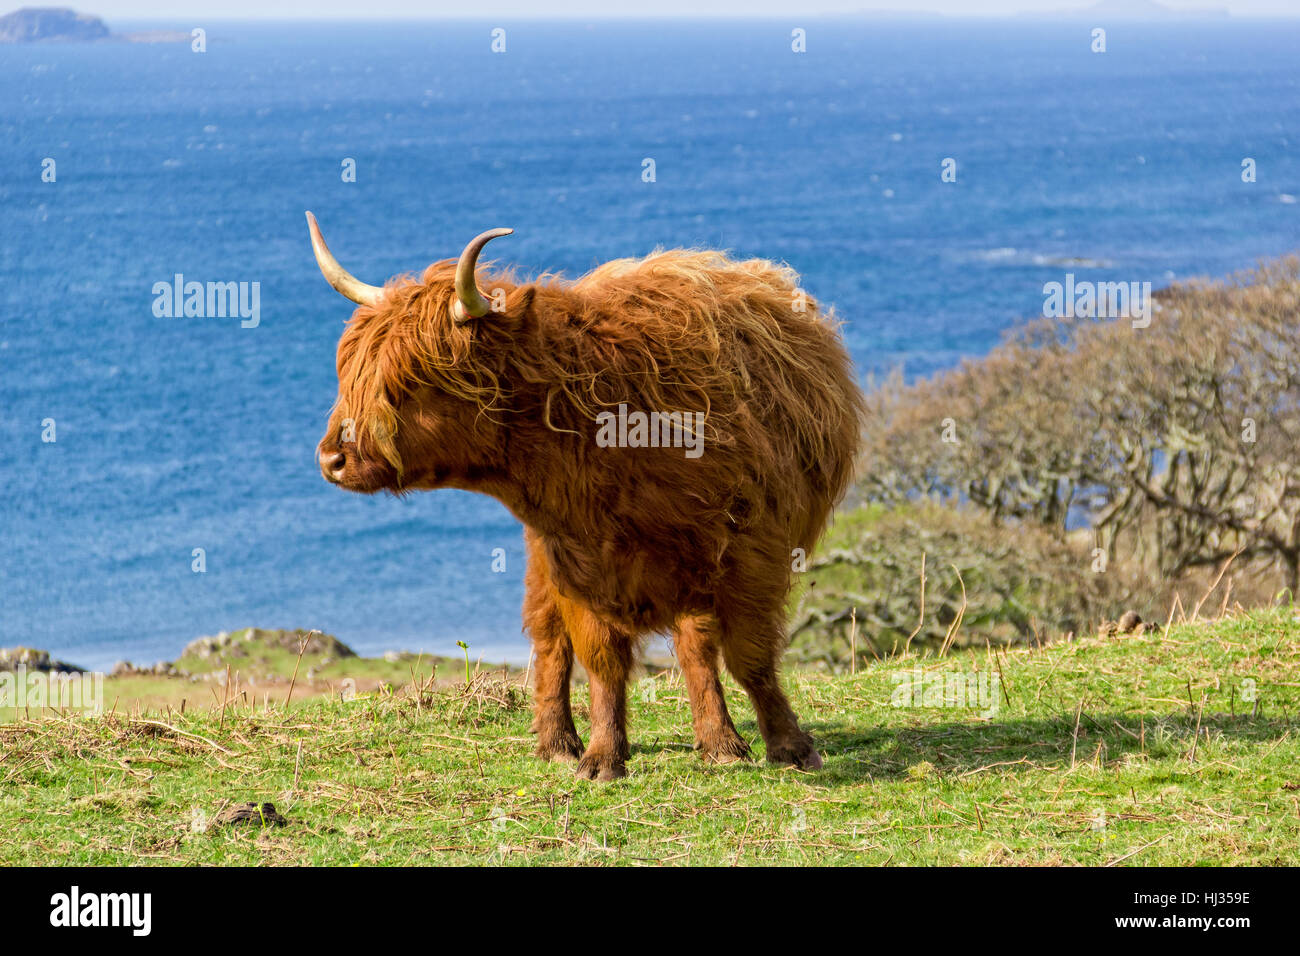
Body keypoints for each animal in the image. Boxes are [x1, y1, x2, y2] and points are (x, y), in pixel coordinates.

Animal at [307, 212, 864, 779]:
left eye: (411, 379)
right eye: (350, 374)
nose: (332, 458)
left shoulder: (748, 552)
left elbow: (746, 655)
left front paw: (786, 746)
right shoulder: (574, 558)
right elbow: (600, 657)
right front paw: (603, 756)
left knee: (695, 647)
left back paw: (717, 740)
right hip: (542, 562)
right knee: (549, 640)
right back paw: (558, 741)